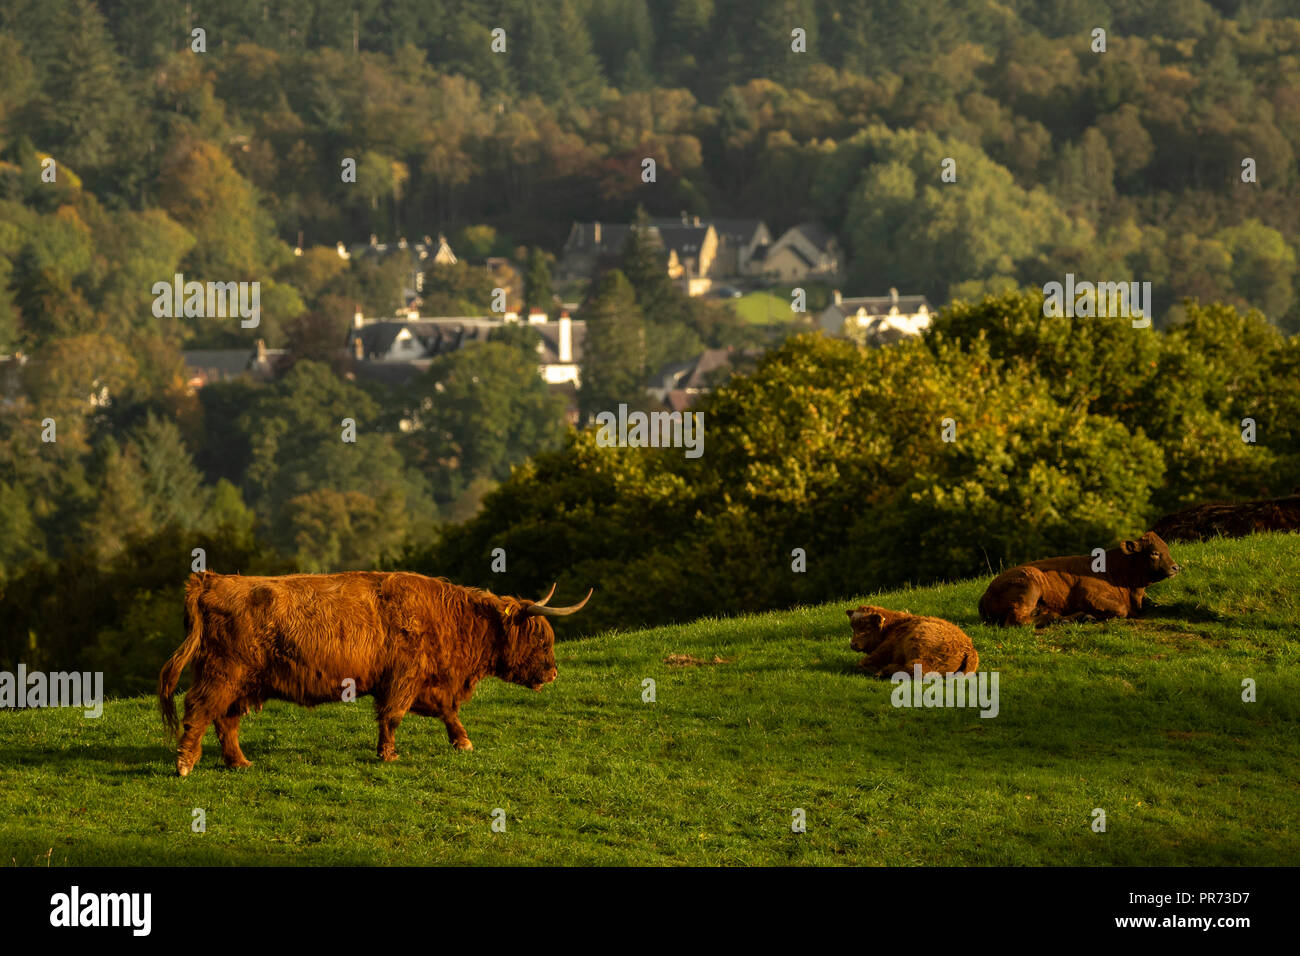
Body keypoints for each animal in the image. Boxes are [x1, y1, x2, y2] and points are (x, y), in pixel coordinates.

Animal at [157, 571, 591, 776]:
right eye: (540, 639)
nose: (553, 673)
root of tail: (210, 580)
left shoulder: (425, 681)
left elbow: (446, 711)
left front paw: (462, 741)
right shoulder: (404, 677)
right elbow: (393, 715)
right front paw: (389, 754)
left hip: (243, 681)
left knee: (226, 719)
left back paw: (239, 762)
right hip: (223, 672)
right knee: (199, 710)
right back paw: (185, 763)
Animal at [847, 605, 979, 677]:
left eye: (867, 628)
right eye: (853, 627)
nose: (853, 644)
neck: (893, 625)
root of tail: (969, 649)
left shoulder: (885, 649)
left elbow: (862, 663)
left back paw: (885, 671)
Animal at [978, 531, 1180, 627]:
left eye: (1167, 549)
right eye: (1154, 553)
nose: (1176, 567)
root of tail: (986, 593)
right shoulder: (1088, 593)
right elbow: (1120, 609)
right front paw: (1093, 616)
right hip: (1030, 584)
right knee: (1017, 620)